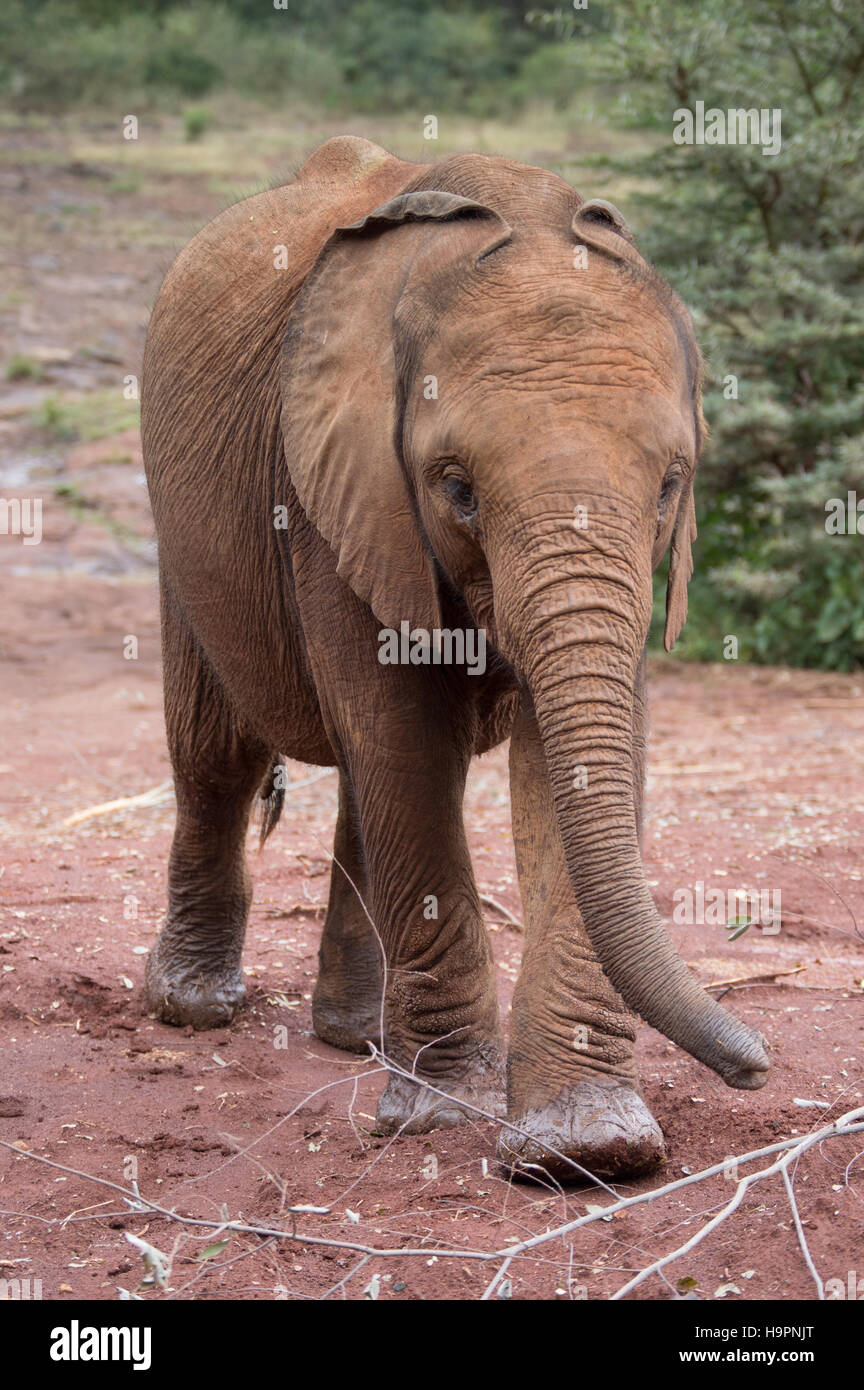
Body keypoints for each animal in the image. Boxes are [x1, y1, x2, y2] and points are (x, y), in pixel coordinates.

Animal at [141, 135, 769, 1183]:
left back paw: (355, 1038)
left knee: (360, 778)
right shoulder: (340, 489)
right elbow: (404, 740)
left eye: (671, 484)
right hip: (180, 530)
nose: (759, 1065)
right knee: (220, 753)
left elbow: (568, 768)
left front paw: (587, 1149)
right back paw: (192, 1009)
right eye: (456, 488)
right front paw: (442, 1119)